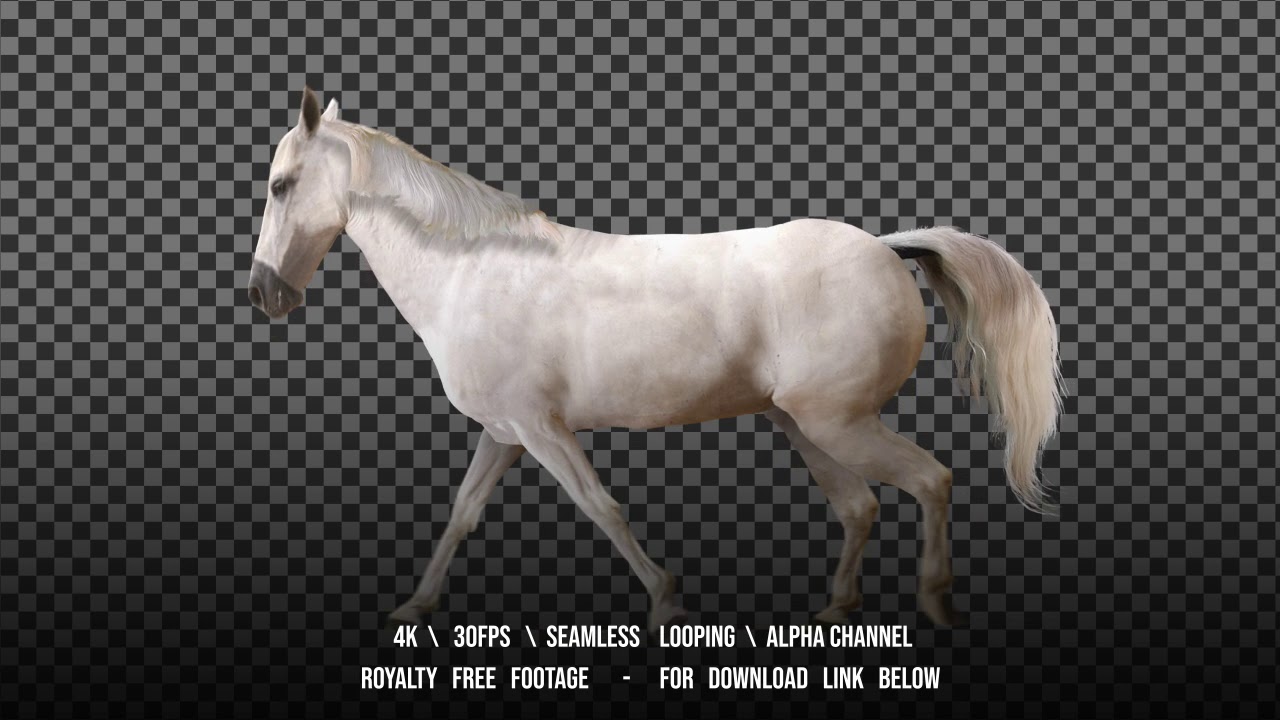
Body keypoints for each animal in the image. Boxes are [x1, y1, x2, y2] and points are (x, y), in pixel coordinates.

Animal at [247, 87, 1064, 631]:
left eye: (281, 186)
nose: (264, 295)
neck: (473, 274)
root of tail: (888, 249)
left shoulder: (541, 430)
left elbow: (598, 505)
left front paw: (666, 598)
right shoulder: (505, 433)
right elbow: (464, 512)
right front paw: (413, 608)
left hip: (840, 423)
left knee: (931, 481)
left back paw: (934, 600)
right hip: (805, 425)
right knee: (859, 505)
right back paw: (837, 609)